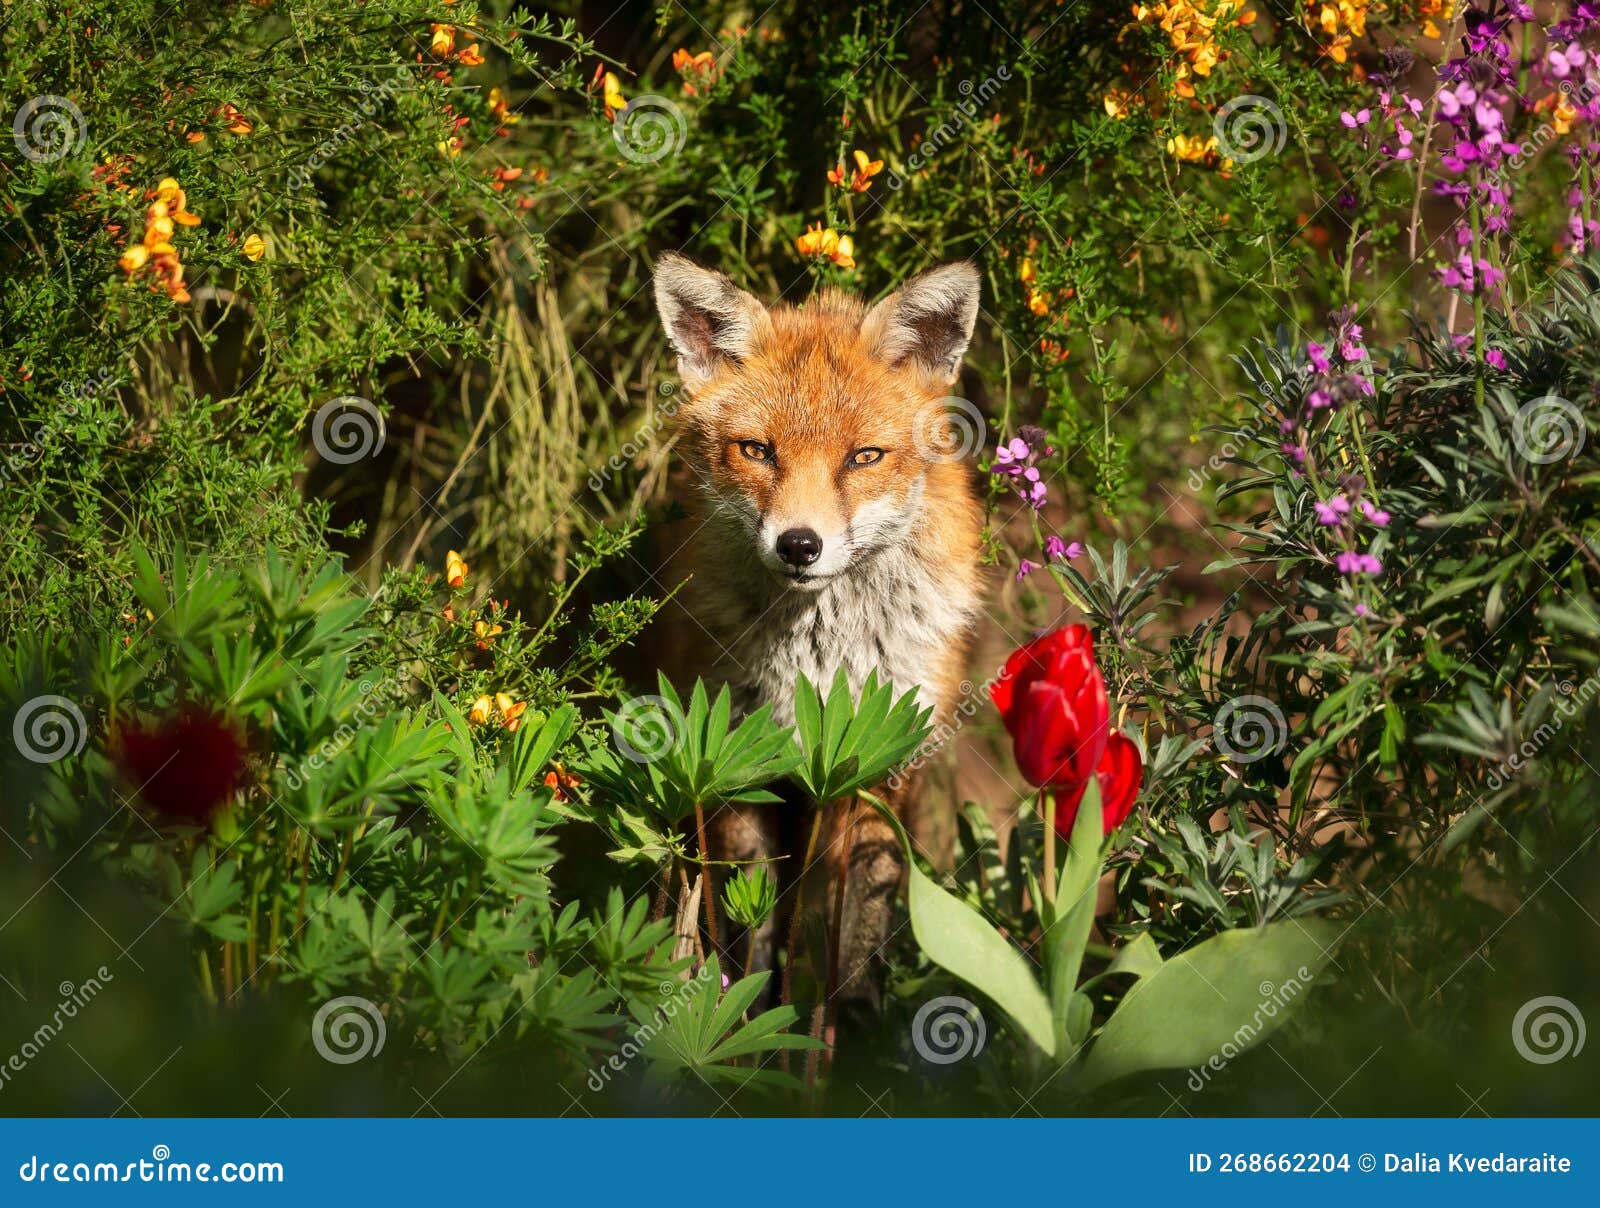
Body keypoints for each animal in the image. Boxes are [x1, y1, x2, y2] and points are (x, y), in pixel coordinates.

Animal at [650, 252, 985, 1013]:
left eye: (863, 457)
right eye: (757, 451)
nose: (799, 545)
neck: (822, 659)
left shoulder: (880, 767)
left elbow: (850, 931)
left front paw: (844, 1025)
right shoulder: (735, 763)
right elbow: (752, 929)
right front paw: (747, 1019)